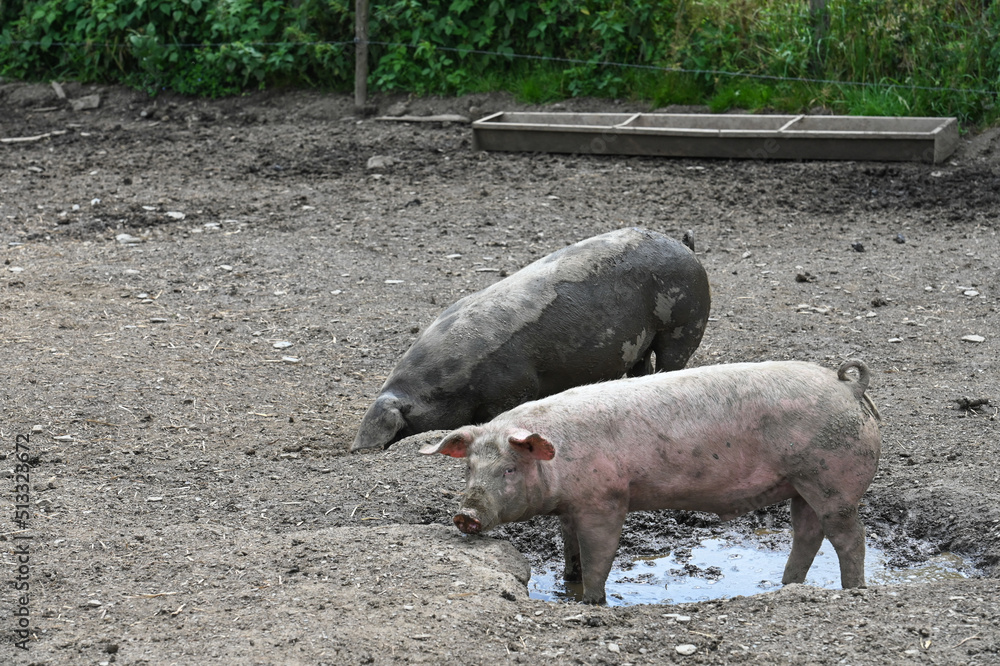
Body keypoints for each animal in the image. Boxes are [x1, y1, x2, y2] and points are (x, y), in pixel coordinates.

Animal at [351, 227, 711, 452]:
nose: (360, 449)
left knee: (673, 362)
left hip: (686, 319)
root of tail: (684, 245)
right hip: (644, 341)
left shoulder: (514, 386)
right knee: (641, 368)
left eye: (405, 418)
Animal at [421, 359, 881, 604]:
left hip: (831, 478)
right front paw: (568, 584)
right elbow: (571, 550)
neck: (561, 462)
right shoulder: (570, 508)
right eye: (468, 468)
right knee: (807, 533)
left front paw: (591, 601)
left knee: (849, 536)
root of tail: (848, 385)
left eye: (509, 469)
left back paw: (854, 590)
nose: (465, 515)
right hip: (802, 483)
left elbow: (599, 554)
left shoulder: (605, 500)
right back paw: (785, 587)